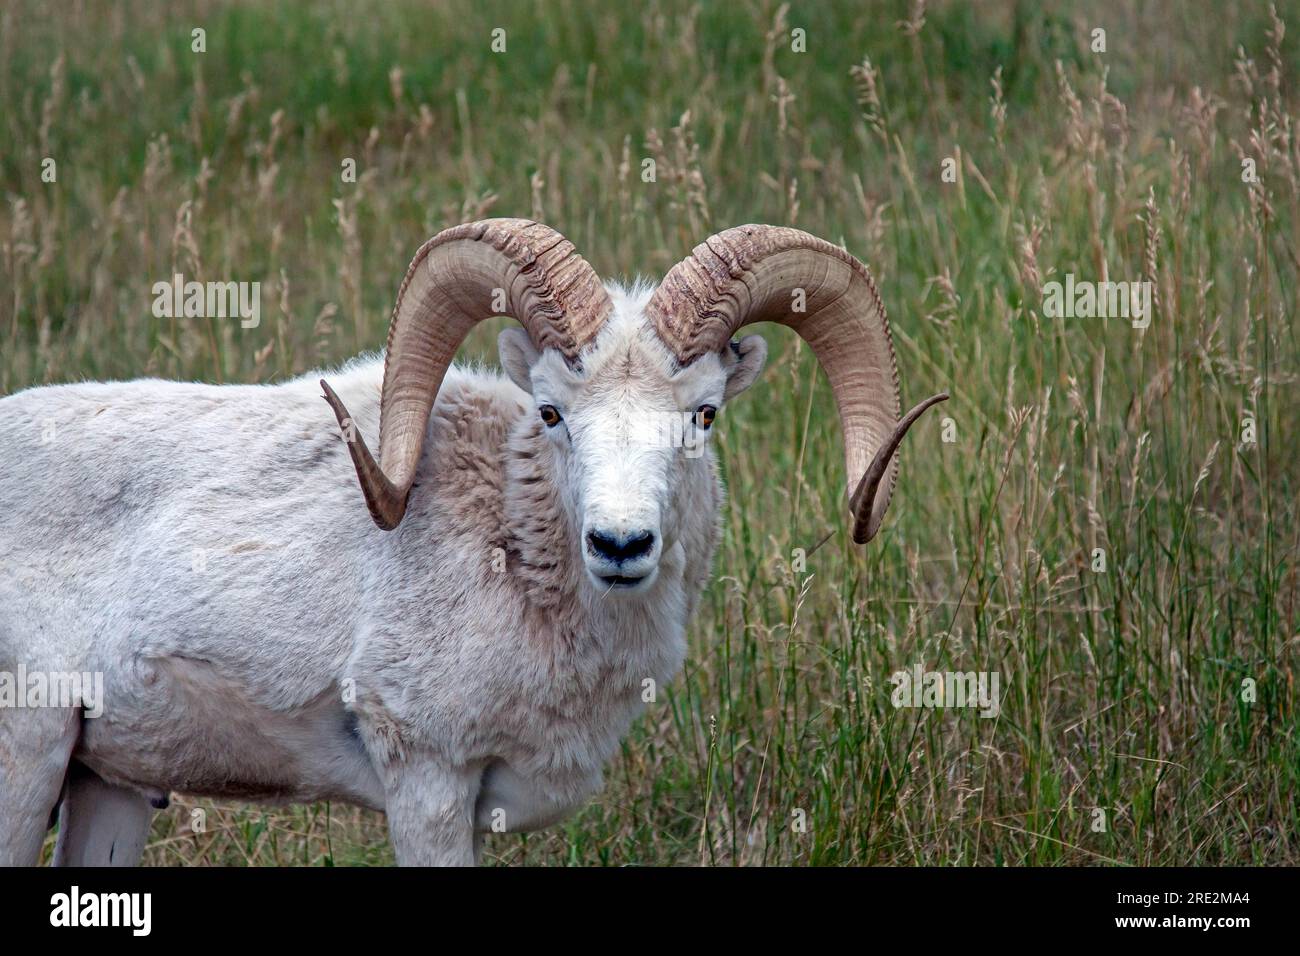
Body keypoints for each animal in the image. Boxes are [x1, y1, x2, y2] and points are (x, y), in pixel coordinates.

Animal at [0, 219, 946, 866]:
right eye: (554, 412)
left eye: (703, 415)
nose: (621, 545)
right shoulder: (427, 784)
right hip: (29, 763)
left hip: (111, 789)